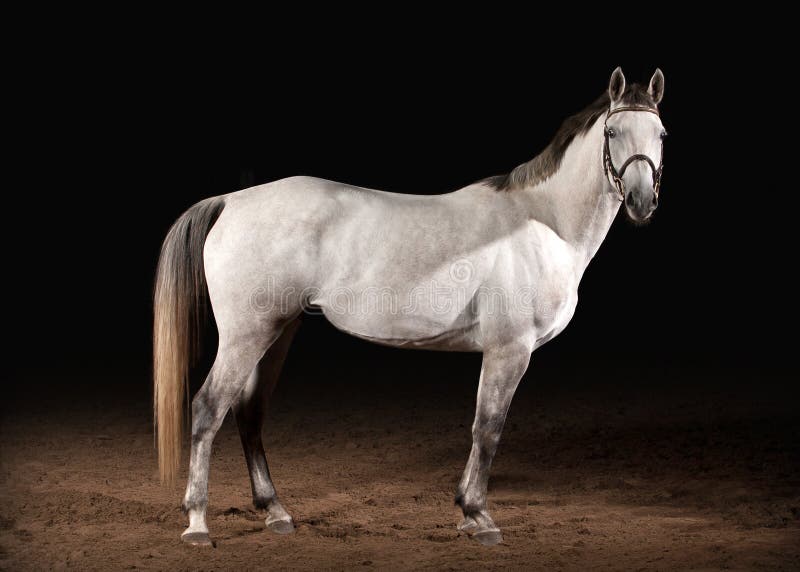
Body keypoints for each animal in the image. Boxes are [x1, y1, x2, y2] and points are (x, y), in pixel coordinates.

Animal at [153, 67, 667, 546]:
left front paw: (465, 511)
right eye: (613, 132)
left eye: (660, 134)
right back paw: (197, 524)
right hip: (247, 334)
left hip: (278, 332)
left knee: (249, 411)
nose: (642, 201)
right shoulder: (509, 350)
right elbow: (489, 428)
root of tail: (232, 200)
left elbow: (481, 427)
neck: (542, 222)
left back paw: (275, 512)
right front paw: (479, 516)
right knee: (208, 408)